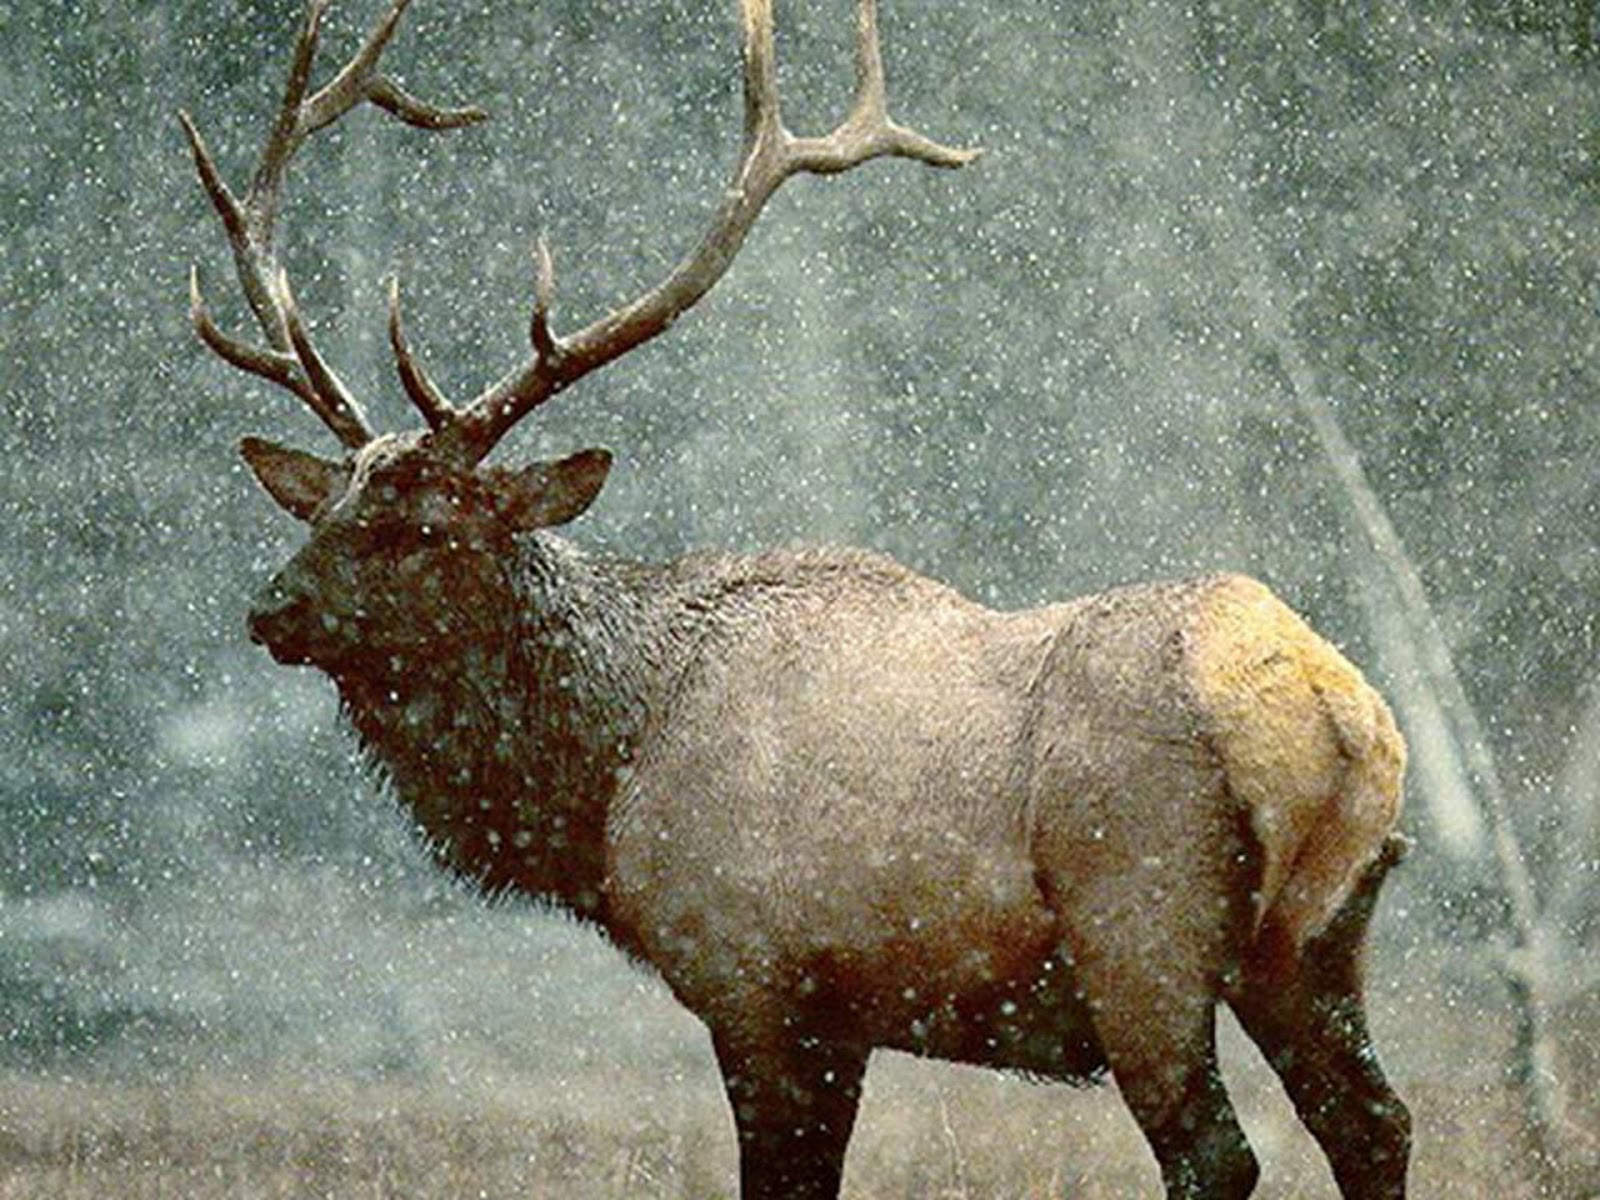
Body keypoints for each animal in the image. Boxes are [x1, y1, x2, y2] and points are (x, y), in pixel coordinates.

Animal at [180, 2, 1412, 1196]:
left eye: (427, 526)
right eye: (327, 509)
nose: (268, 610)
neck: (610, 775)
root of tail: (1335, 715)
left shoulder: (761, 982)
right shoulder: (840, 1016)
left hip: (1142, 923)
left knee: (1217, 1152)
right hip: (1312, 940)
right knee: (1375, 1122)